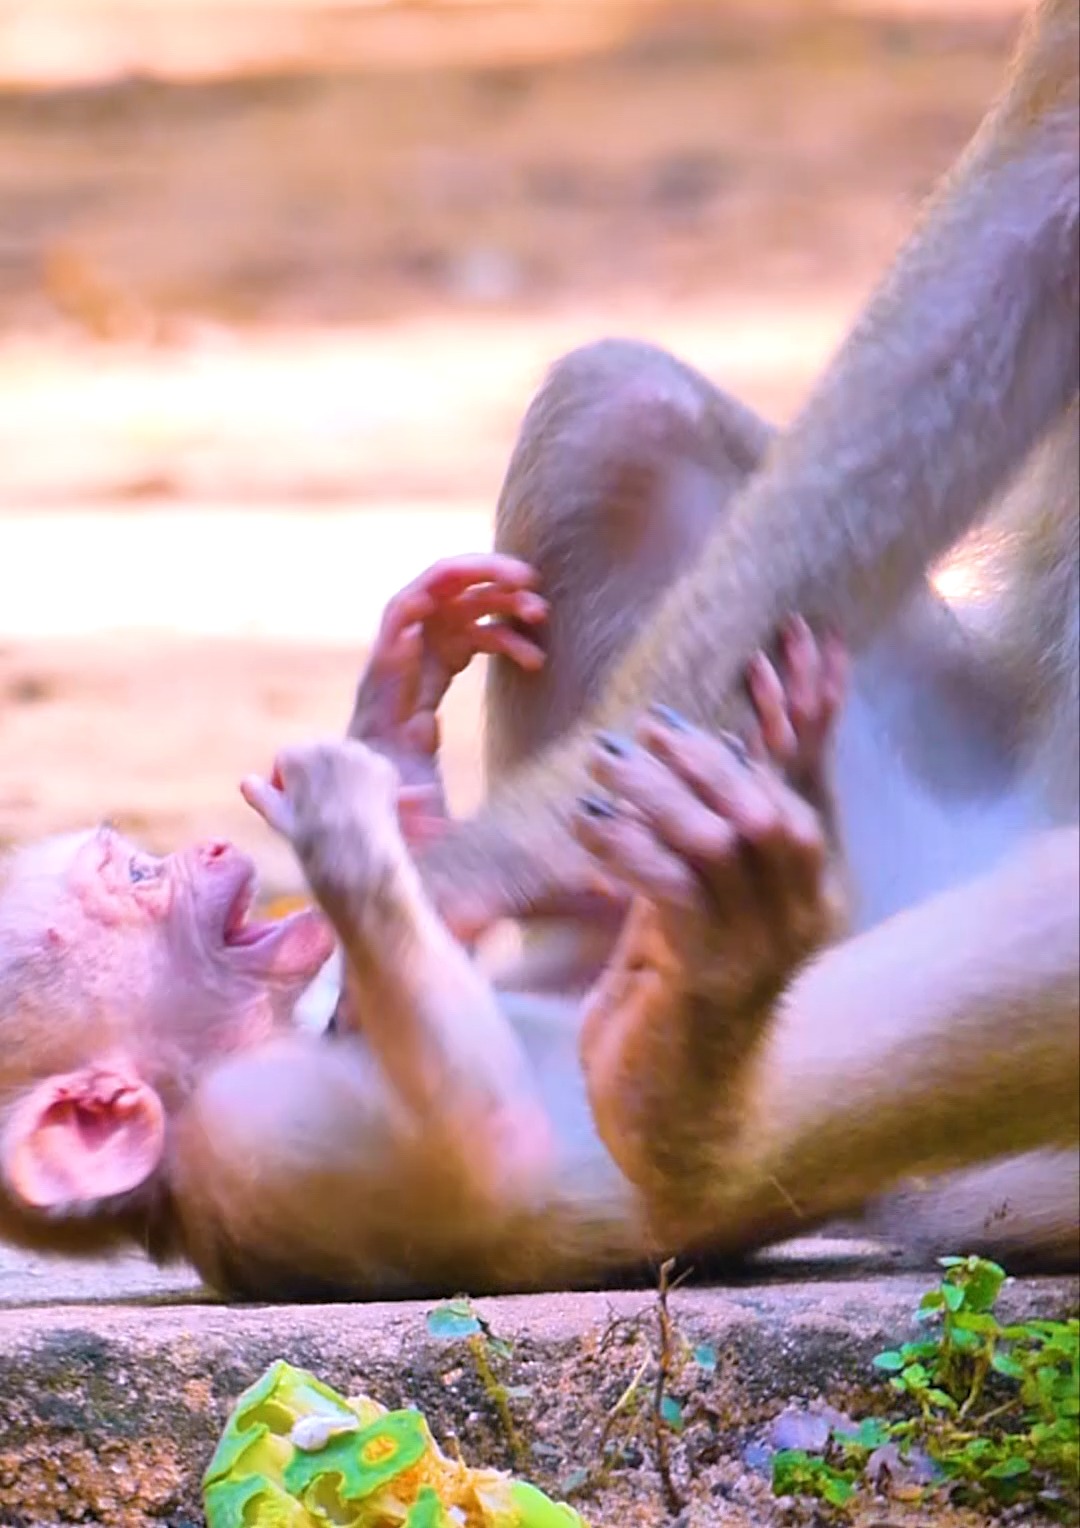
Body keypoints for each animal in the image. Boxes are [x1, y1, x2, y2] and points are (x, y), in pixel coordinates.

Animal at [0, 554, 847, 1297]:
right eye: (137, 879)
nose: (209, 847)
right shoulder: (246, 1131)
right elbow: (502, 1154)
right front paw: (339, 811)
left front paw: (397, 722)